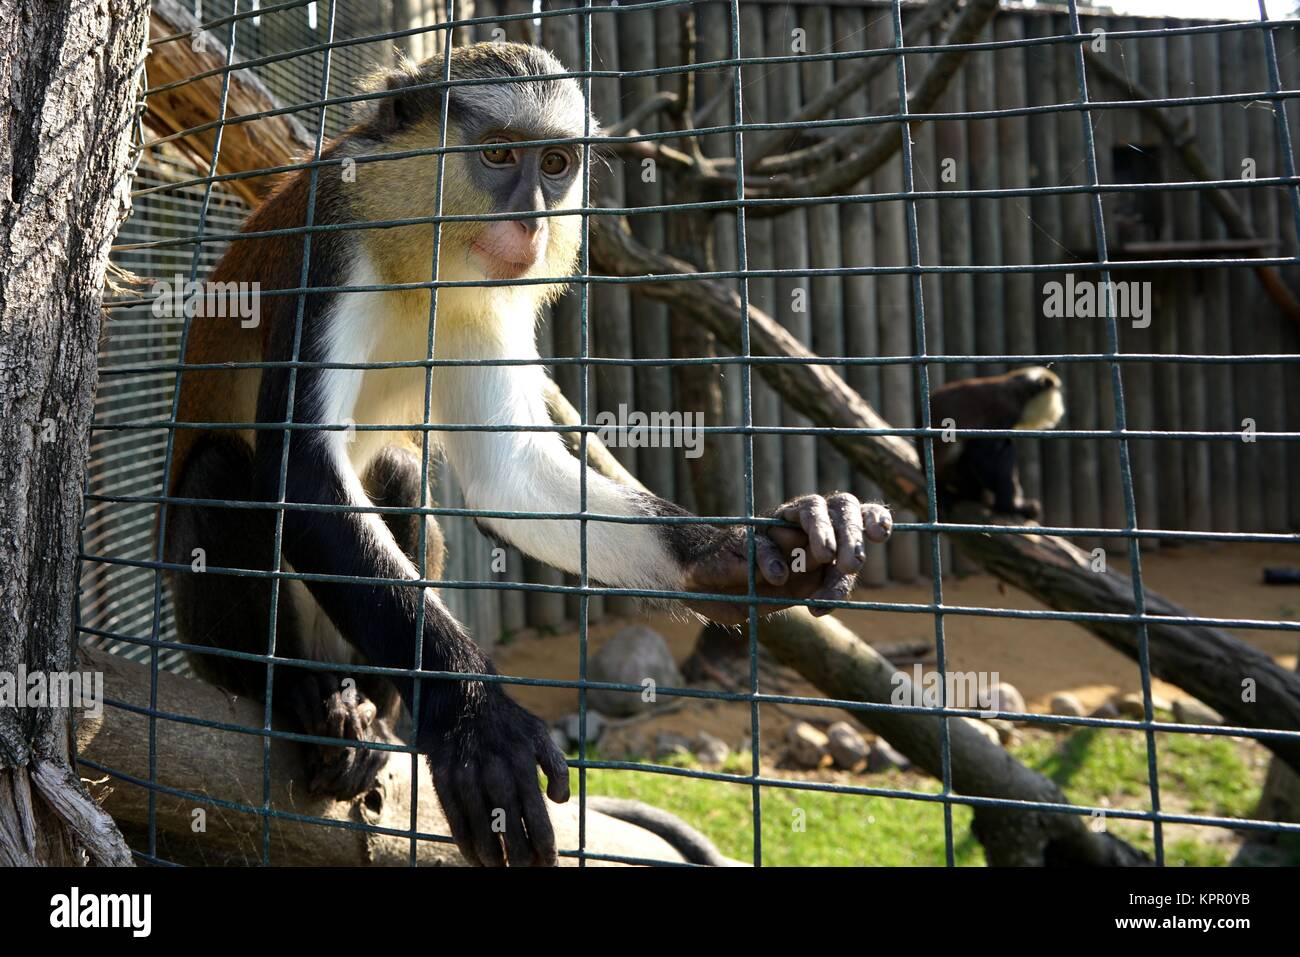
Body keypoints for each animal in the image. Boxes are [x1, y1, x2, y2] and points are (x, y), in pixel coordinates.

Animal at [160, 43, 893, 867]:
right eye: (499, 155)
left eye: (555, 163)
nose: (533, 220)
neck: (423, 252)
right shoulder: (332, 246)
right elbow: (299, 467)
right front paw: (478, 718)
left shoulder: (487, 302)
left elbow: (510, 474)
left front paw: (742, 555)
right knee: (222, 473)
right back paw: (300, 702)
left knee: (400, 472)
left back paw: (364, 711)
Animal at [927, 366, 1064, 520]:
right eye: (1056, 391)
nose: (1061, 404)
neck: (1015, 390)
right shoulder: (1004, 411)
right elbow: (979, 449)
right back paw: (1009, 507)